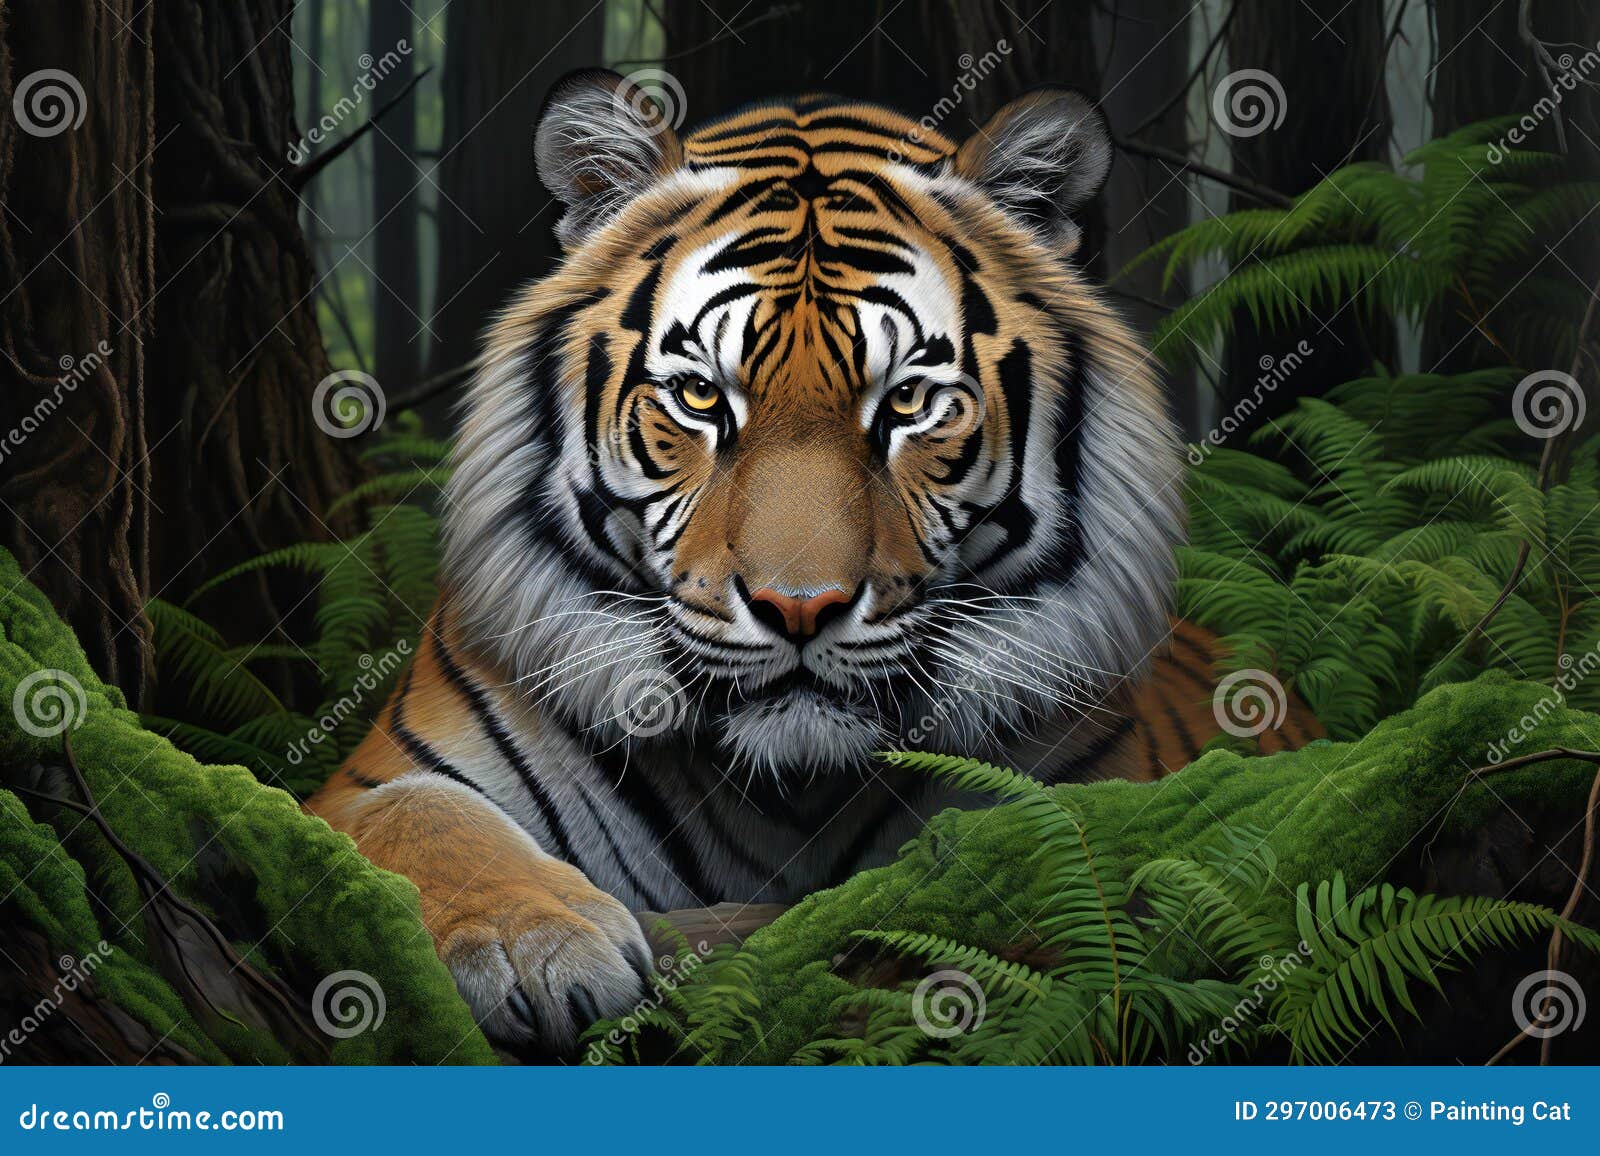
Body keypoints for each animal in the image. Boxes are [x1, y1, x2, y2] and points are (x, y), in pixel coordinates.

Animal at [305, 70, 1319, 1055]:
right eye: (701, 396)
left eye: (907, 401)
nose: (799, 608)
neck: (787, 789)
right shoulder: (359, 787)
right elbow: (414, 815)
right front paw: (542, 944)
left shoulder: (1095, 807)